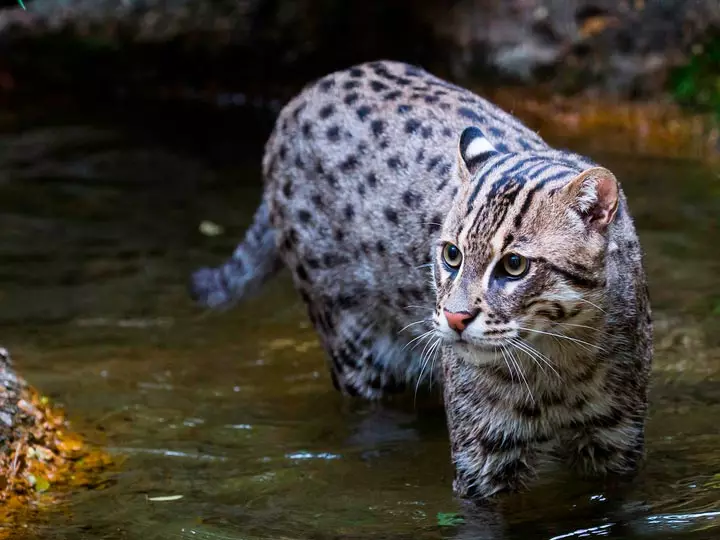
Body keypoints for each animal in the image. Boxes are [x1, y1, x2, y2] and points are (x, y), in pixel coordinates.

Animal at [191, 60, 652, 498]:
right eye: (451, 254)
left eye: (515, 265)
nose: (455, 319)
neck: (556, 363)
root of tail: (307, 92)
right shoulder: (483, 452)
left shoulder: (615, 441)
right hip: (354, 347)